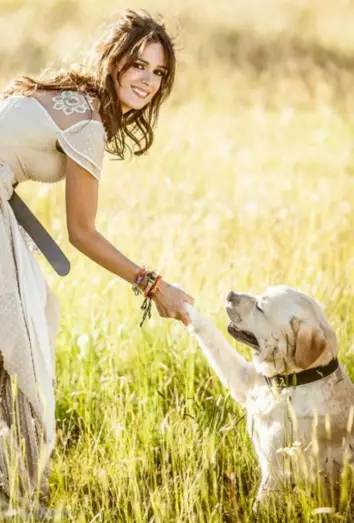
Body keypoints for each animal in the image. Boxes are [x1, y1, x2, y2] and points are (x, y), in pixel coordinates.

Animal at [184, 284, 354, 506]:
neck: (289, 382)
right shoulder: (243, 379)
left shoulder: (277, 472)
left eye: (260, 307)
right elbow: (210, 333)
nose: (230, 294)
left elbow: (261, 505)